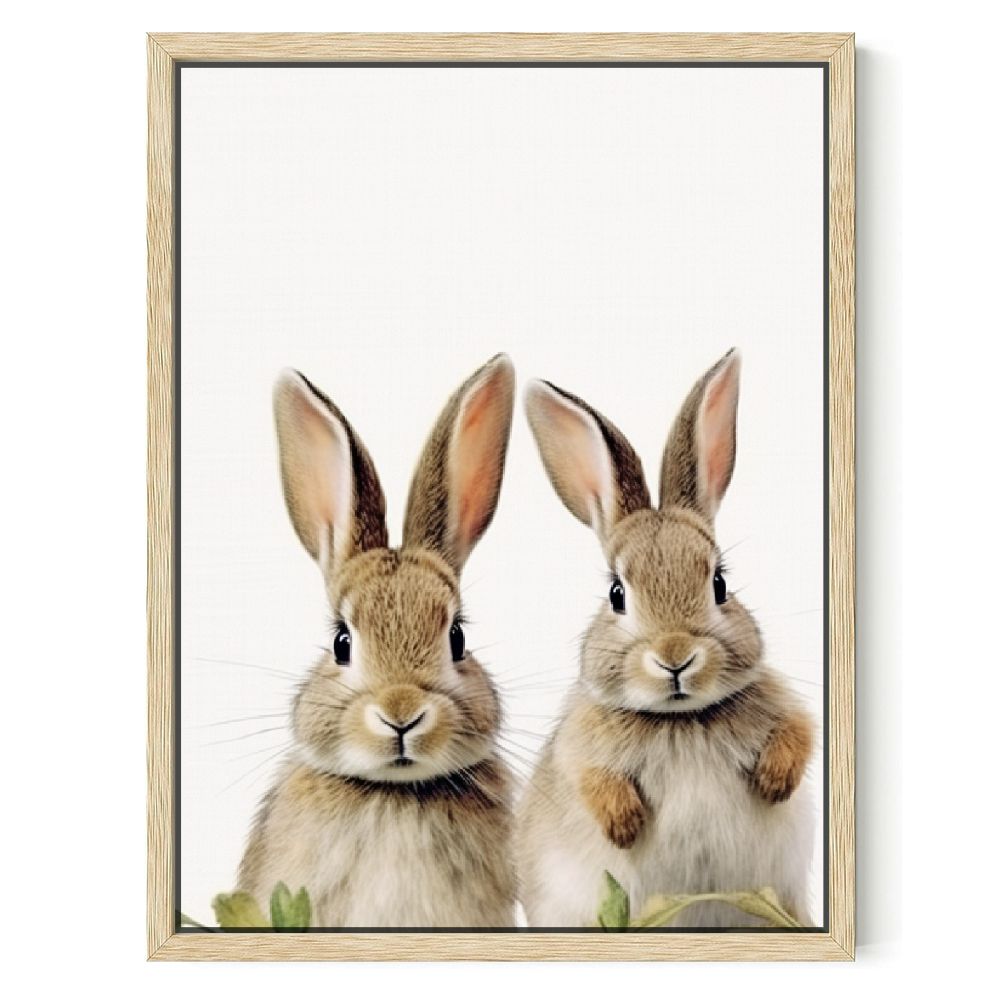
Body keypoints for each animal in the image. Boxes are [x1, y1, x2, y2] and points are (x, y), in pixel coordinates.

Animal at [515, 349, 815, 928]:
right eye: (616, 594)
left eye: (719, 583)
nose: (674, 656)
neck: (682, 719)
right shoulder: (577, 751)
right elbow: (589, 777)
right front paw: (625, 823)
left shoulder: (787, 708)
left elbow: (799, 732)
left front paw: (774, 781)